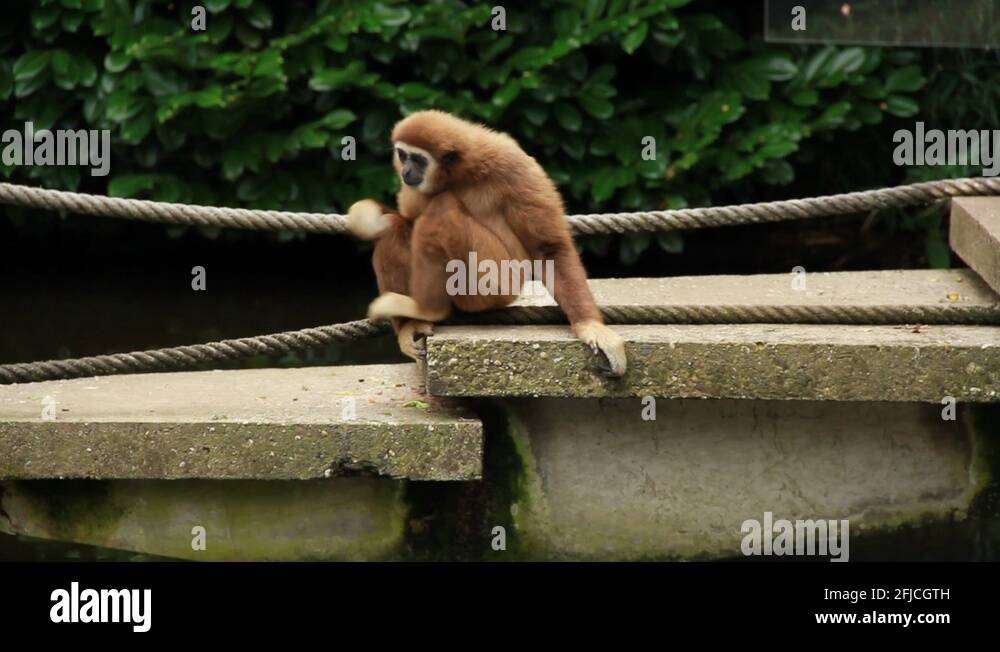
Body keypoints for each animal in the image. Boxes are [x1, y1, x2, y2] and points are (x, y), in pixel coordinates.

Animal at [347, 109, 627, 377]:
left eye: (418, 159)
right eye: (403, 155)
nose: (405, 171)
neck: (460, 173)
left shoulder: (514, 164)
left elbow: (549, 247)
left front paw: (591, 326)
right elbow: (405, 218)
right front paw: (364, 215)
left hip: (493, 283)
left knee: (443, 207)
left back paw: (428, 309)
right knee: (393, 226)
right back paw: (411, 323)